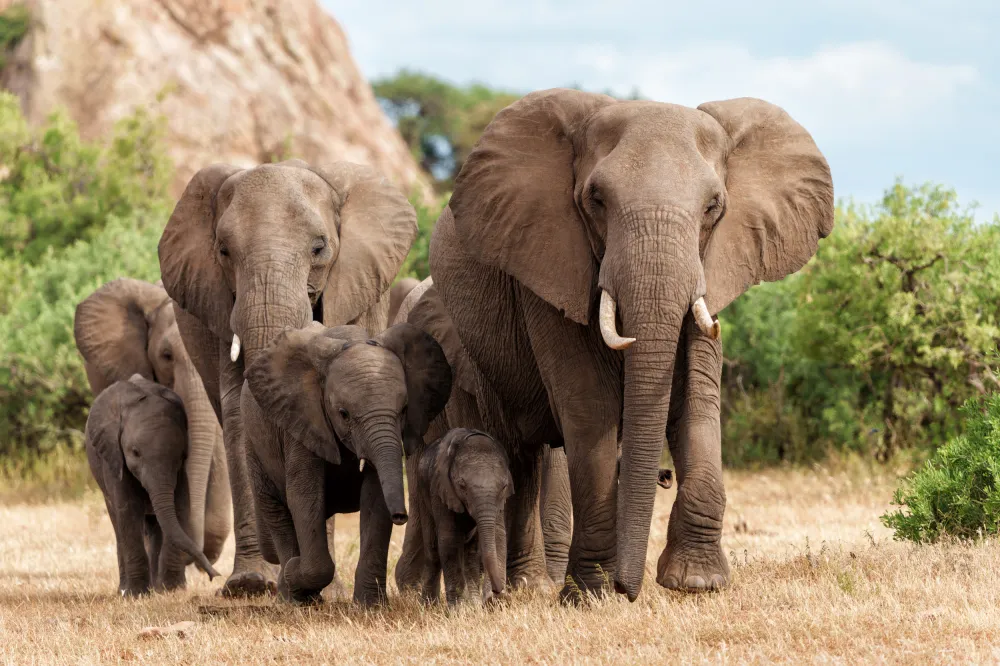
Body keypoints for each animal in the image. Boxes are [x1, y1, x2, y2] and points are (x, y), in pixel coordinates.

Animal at [85, 374, 220, 596]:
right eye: (135, 452)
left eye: (181, 455)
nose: (214, 576)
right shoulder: (113, 457)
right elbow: (128, 510)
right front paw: (136, 594)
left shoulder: (180, 472)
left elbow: (180, 507)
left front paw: (172, 590)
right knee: (118, 524)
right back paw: (125, 589)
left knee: (155, 526)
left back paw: (157, 588)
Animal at [242, 322, 451, 604]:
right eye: (343, 414)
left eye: (404, 410)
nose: (401, 516)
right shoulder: (301, 420)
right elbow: (304, 496)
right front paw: (295, 571)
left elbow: (375, 498)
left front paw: (370, 606)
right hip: (254, 443)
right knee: (277, 510)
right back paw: (293, 595)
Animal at [416, 428, 512, 606]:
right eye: (462, 485)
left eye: (504, 487)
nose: (500, 592)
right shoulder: (441, 490)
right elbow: (449, 540)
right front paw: (458, 609)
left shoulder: (500, 502)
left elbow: (498, 534)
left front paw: (493, 603)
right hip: (422, 493)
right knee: (433, 551)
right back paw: (428, 606)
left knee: (471, 552)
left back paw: (473, 604)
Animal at [427, 89, 834, 601]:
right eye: (596, 200)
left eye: (713, 206)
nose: (631, 587)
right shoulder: (549, 262)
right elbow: (589, 405)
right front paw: (592, 594)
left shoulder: (711, 269)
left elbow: (696, 400)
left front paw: (696, 582)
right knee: (517, 455)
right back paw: (521, 591)